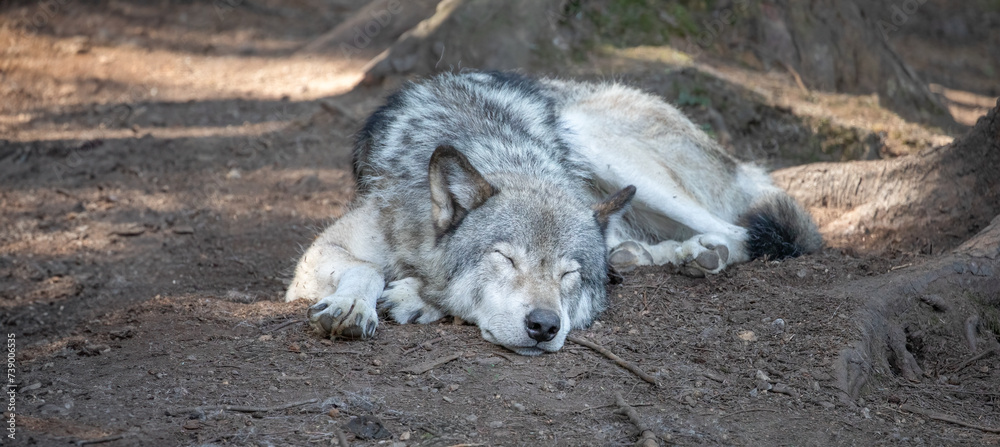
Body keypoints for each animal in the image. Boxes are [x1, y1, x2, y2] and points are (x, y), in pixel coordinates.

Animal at [285, 72, 821, 355]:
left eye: (569, 274)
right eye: (505, 259)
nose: (544, 325)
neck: (504, 151)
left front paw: (418, 297)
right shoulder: (318, 255)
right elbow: (364, 268)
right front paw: (352, 304)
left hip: (603, 146)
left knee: (743, 234)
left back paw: (698, 255)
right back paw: (643, 256)